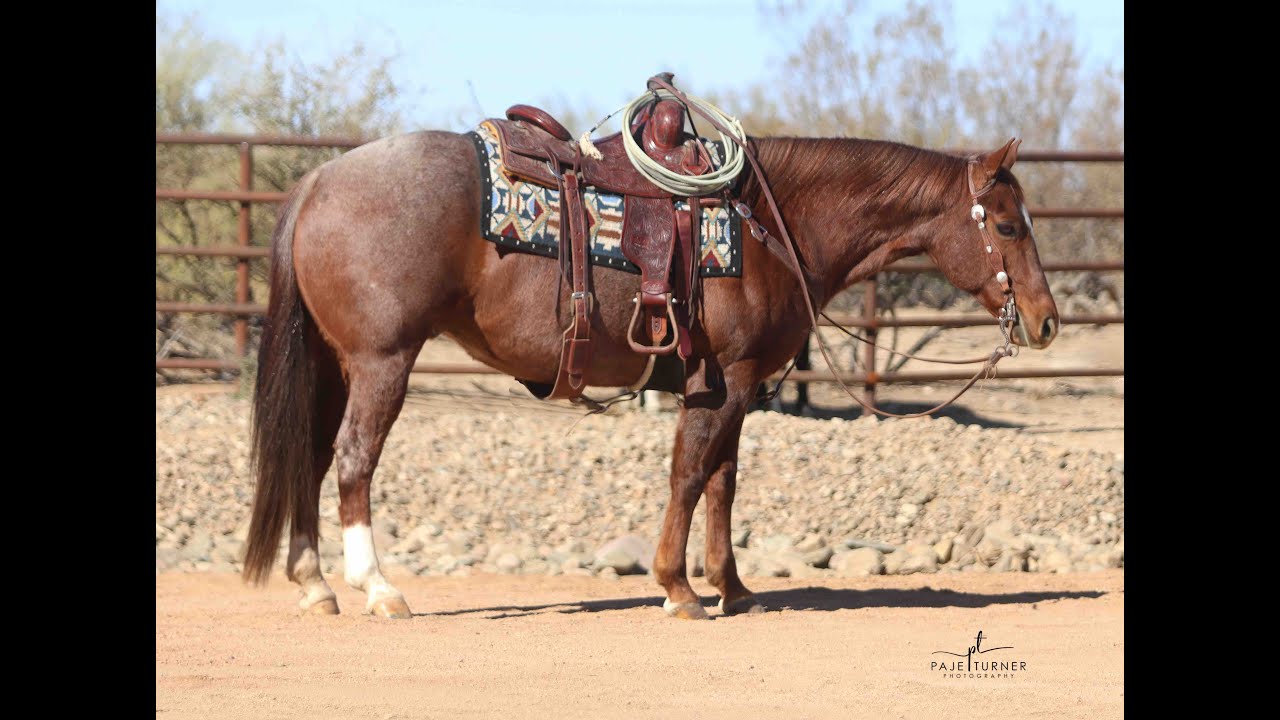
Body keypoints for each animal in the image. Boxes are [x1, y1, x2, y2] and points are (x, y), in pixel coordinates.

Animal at [241, 111, 1059, 620]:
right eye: (1008, 224)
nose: (1047, 319)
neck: (766, 225)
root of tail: (317, 182)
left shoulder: (737, 384)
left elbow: (725, 480)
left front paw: (733, 587)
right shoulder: (724, 379)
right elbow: (693, 474)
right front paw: (678, 588)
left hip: (332, 363)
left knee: (312, 457)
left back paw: (315, 584)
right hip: (382, 361)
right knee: (353, 461)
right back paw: (378, 589)